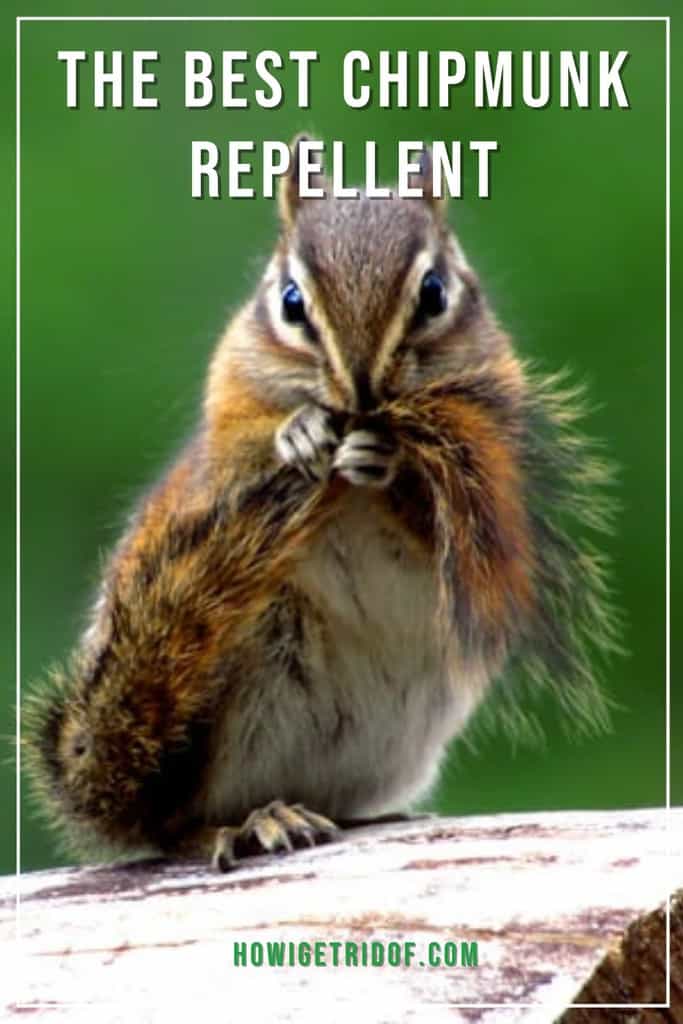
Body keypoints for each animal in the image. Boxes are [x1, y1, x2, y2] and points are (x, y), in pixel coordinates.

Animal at [24, 137, 617, 871]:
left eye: (434, 292)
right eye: (289, 300)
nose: (361, 389)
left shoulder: (494, 468)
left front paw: (385, 462)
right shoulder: (221, 438)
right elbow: (242, 456)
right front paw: (299, 432)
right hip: (214, 696)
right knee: (177, 828)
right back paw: (250, 823)